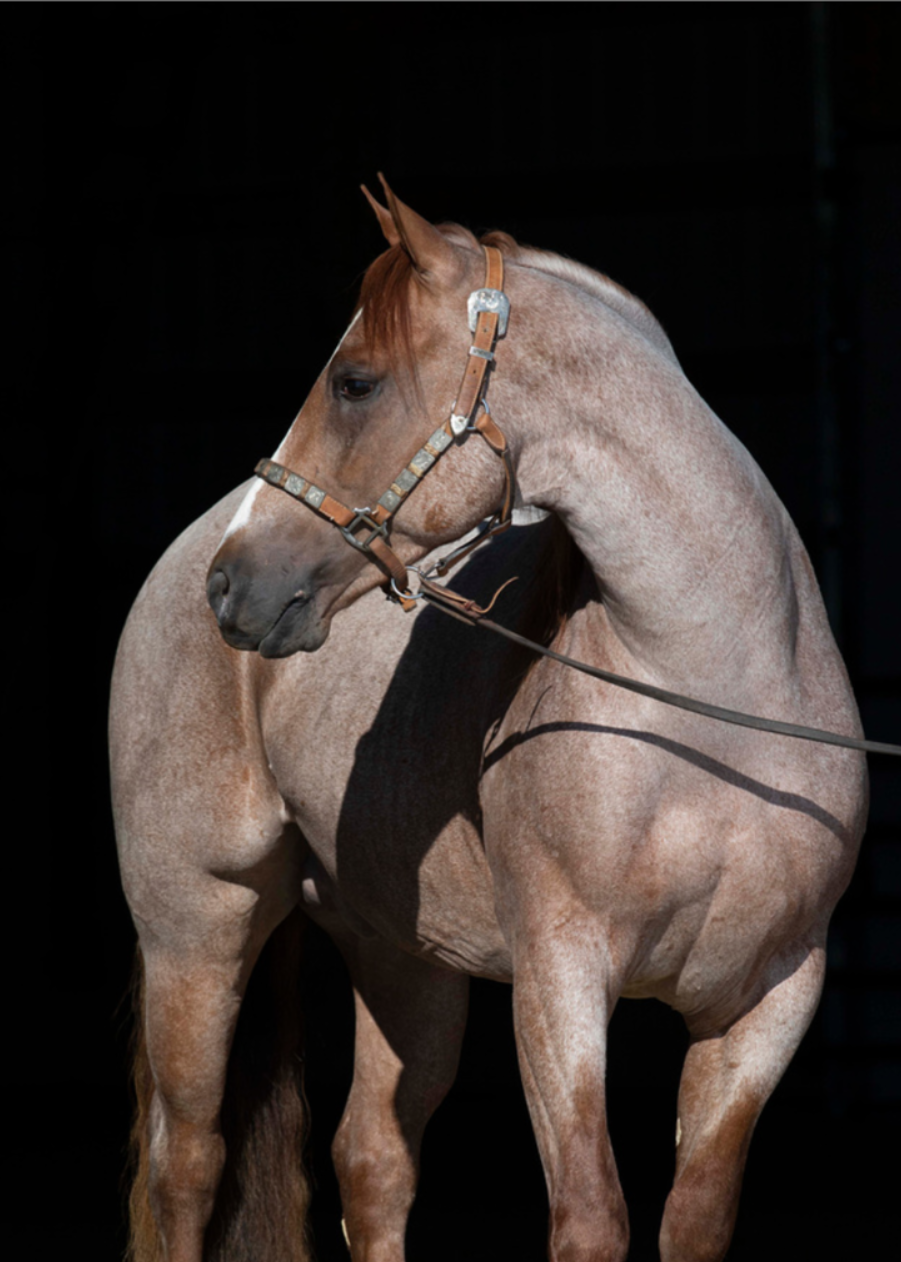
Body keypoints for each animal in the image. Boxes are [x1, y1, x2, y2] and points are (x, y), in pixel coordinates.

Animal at [111, 177, 868, 1262]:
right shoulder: (561, 976)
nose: (235, 579)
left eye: (354, 381)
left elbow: (692, 1221)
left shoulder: (770, 998)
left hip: (402, 958)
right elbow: (591, 1214)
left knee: (372, 1163)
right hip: (197, 927)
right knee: (188, 1165)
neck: (711, 714)